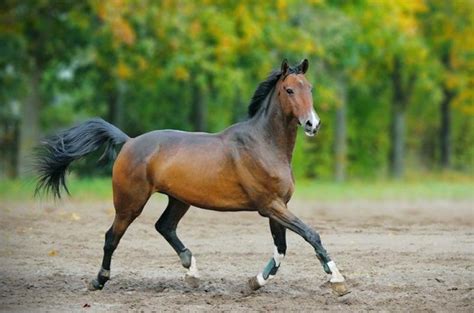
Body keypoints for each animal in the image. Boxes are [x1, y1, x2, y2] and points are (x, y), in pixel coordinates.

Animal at [35, 58, 348, 294]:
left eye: (310, 87)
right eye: (289, 90)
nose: (312, 124)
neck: (264, 144)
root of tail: (129, 141)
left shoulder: (278, 206)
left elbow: (281, 248)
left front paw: (254, 283)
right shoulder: (270, 205)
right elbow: (310, 234)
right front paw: (337, 280)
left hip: (178, 199)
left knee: (164, 226)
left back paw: (192, 272)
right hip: (130, 203)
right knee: (112, 236)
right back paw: (99, 280)